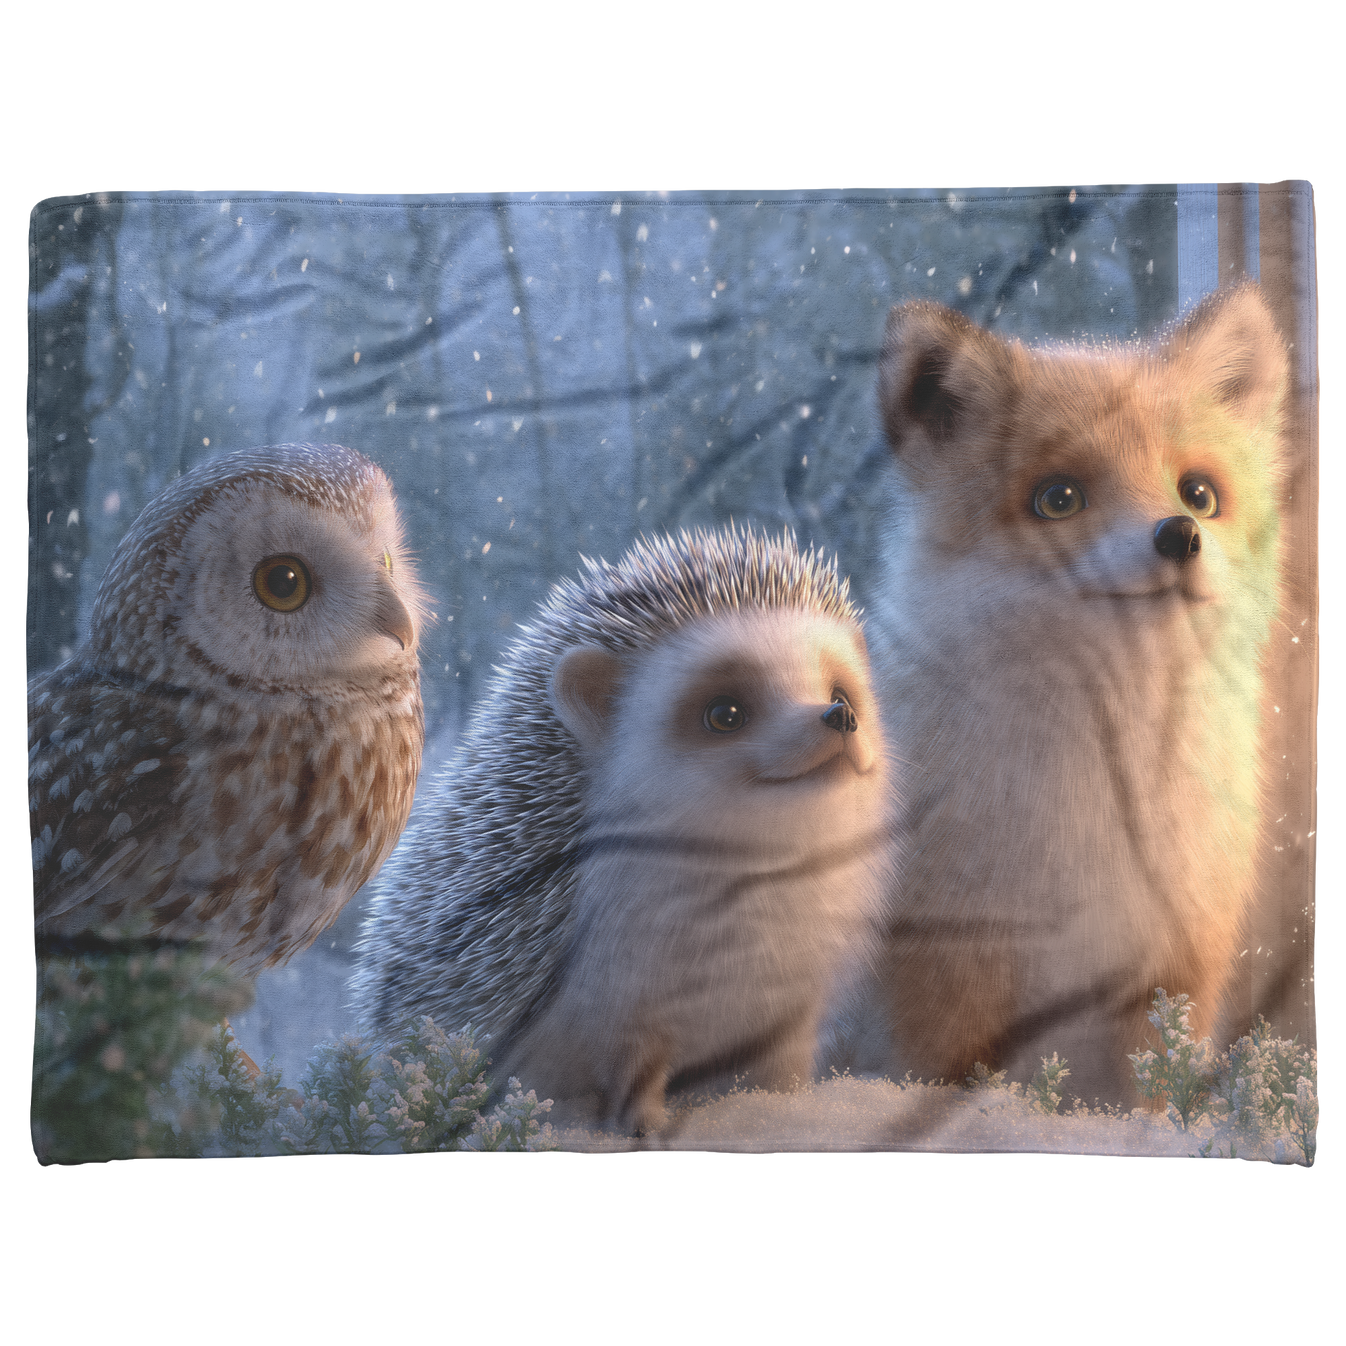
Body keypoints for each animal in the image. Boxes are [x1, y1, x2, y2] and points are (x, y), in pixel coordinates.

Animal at [845, 284, 1288, 1109]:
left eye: (1199, 493)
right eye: (1059, 499)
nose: (1179, 536)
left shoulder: (1172, 972)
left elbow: (1145, 1103)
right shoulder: (943, 977)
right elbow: (945, 1090)